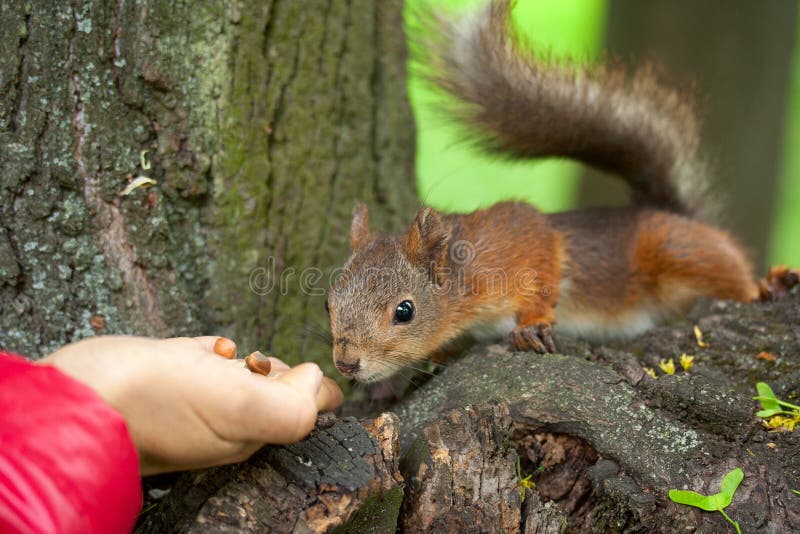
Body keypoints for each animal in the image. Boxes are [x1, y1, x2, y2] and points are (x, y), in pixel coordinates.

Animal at [325, 0, 760, 383]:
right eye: (329, 301)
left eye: (405, 311)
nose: (346, 363)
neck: (465, 282)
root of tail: (673, 213)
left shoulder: (516, 236)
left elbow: (545, 266)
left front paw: (531, 323)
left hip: (673, 245)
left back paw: (766, 283)